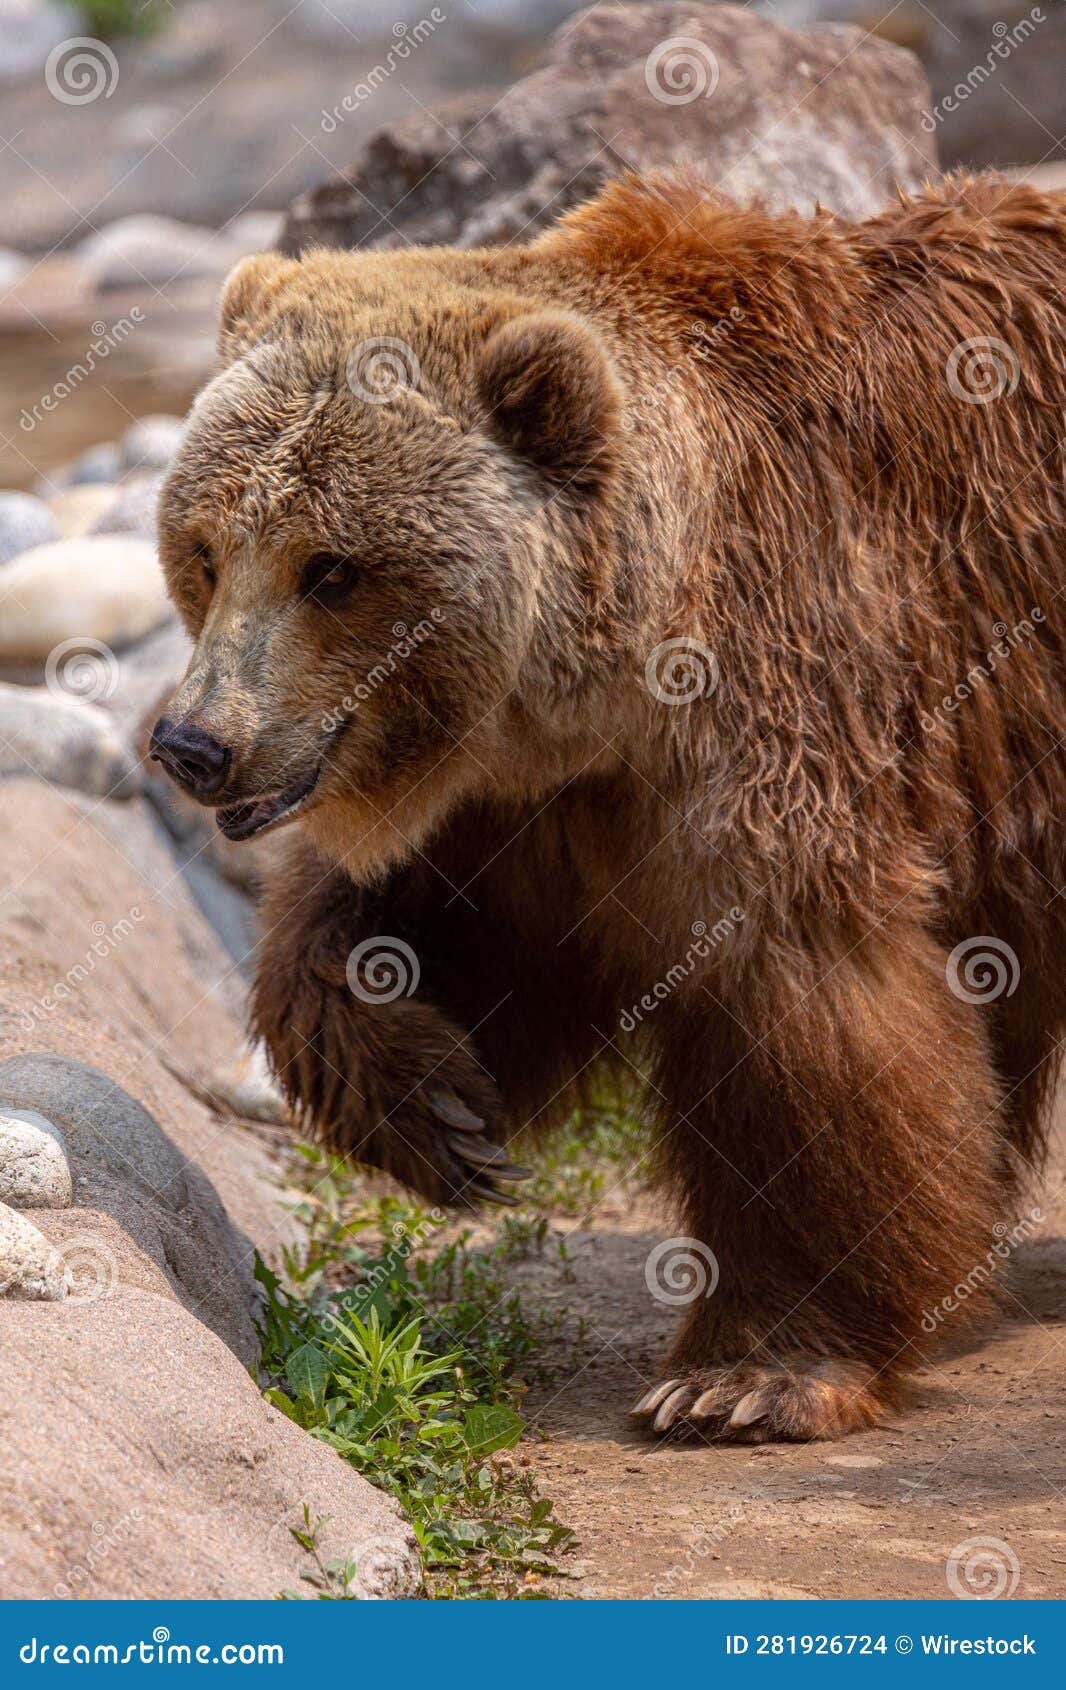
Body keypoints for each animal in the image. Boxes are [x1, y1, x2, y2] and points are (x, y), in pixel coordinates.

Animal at [152, 169, 1066, 1443]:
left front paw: (751, 1372)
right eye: (204, 545)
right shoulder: (529, 799)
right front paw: (437, 1110)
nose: (195, 744)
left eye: (331, 567)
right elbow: (421, 931)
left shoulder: (786, 693)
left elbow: (807, 1018)